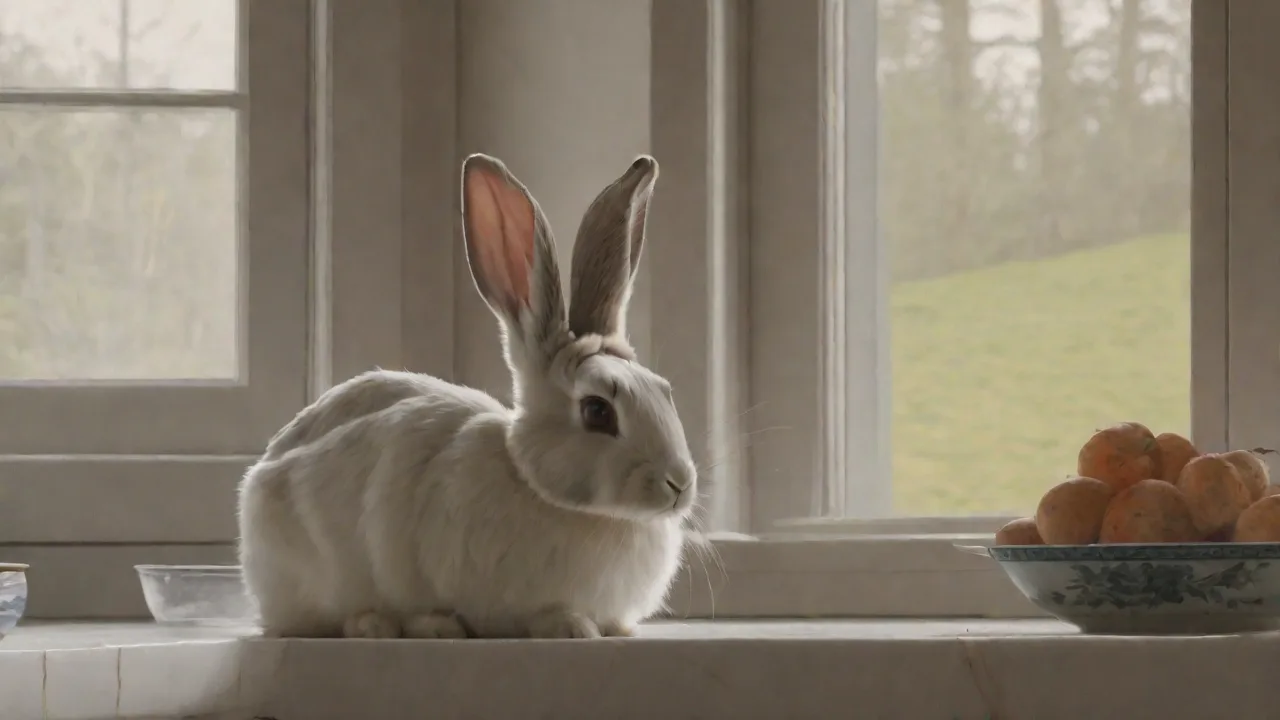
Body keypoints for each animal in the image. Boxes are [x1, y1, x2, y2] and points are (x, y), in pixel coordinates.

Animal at [237, 153, 698, 640]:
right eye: (597, 411)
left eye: (665, 392)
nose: (679, 484)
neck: (534, 482)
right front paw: (571, 627)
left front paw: (618, 632)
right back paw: (388, 625)